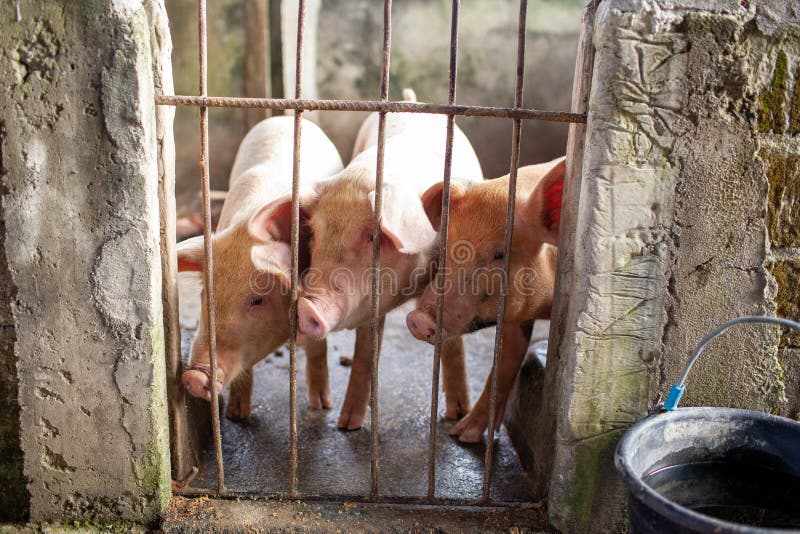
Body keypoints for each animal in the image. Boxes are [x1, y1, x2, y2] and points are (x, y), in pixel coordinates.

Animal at [177, 116, 344, 420]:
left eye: (257, 300)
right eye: (206, 295)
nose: (194, 377)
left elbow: (318, 347)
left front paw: (322, 406)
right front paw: (237, 415)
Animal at [249, 91, 483, 429]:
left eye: (373, 236)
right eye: (313, 233)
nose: (306, 305)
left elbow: (451, 340)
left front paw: (457, 416)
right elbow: (364, 353)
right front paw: (347, 425)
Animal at [406, 158, 565, 442]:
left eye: (500, 254)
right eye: (447, 246)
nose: (418, 318)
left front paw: (464, 436)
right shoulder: (515, 320)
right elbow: (503, 364)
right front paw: (464, 435)